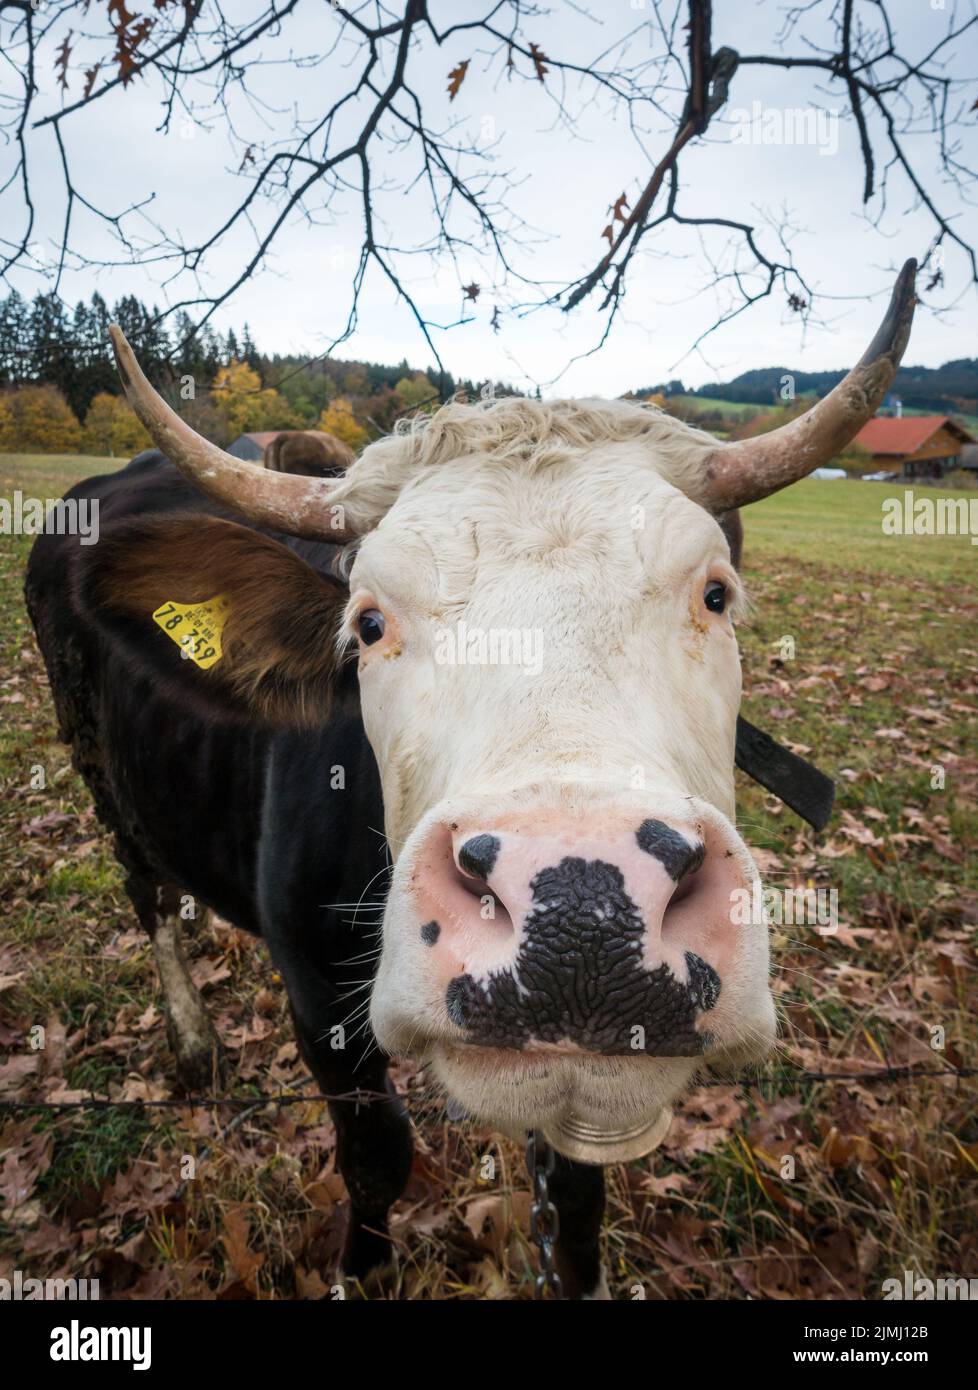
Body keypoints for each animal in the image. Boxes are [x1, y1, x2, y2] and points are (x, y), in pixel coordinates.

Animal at [25, 261, 916, 1298]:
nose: (581, 908)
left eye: (716, 593)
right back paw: (194, 1038)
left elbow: (576, 1203)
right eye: (369, 623)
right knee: (148, 893)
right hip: (100, 775)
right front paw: (364, 1267)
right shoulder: (321, 1005)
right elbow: (378, 1157)